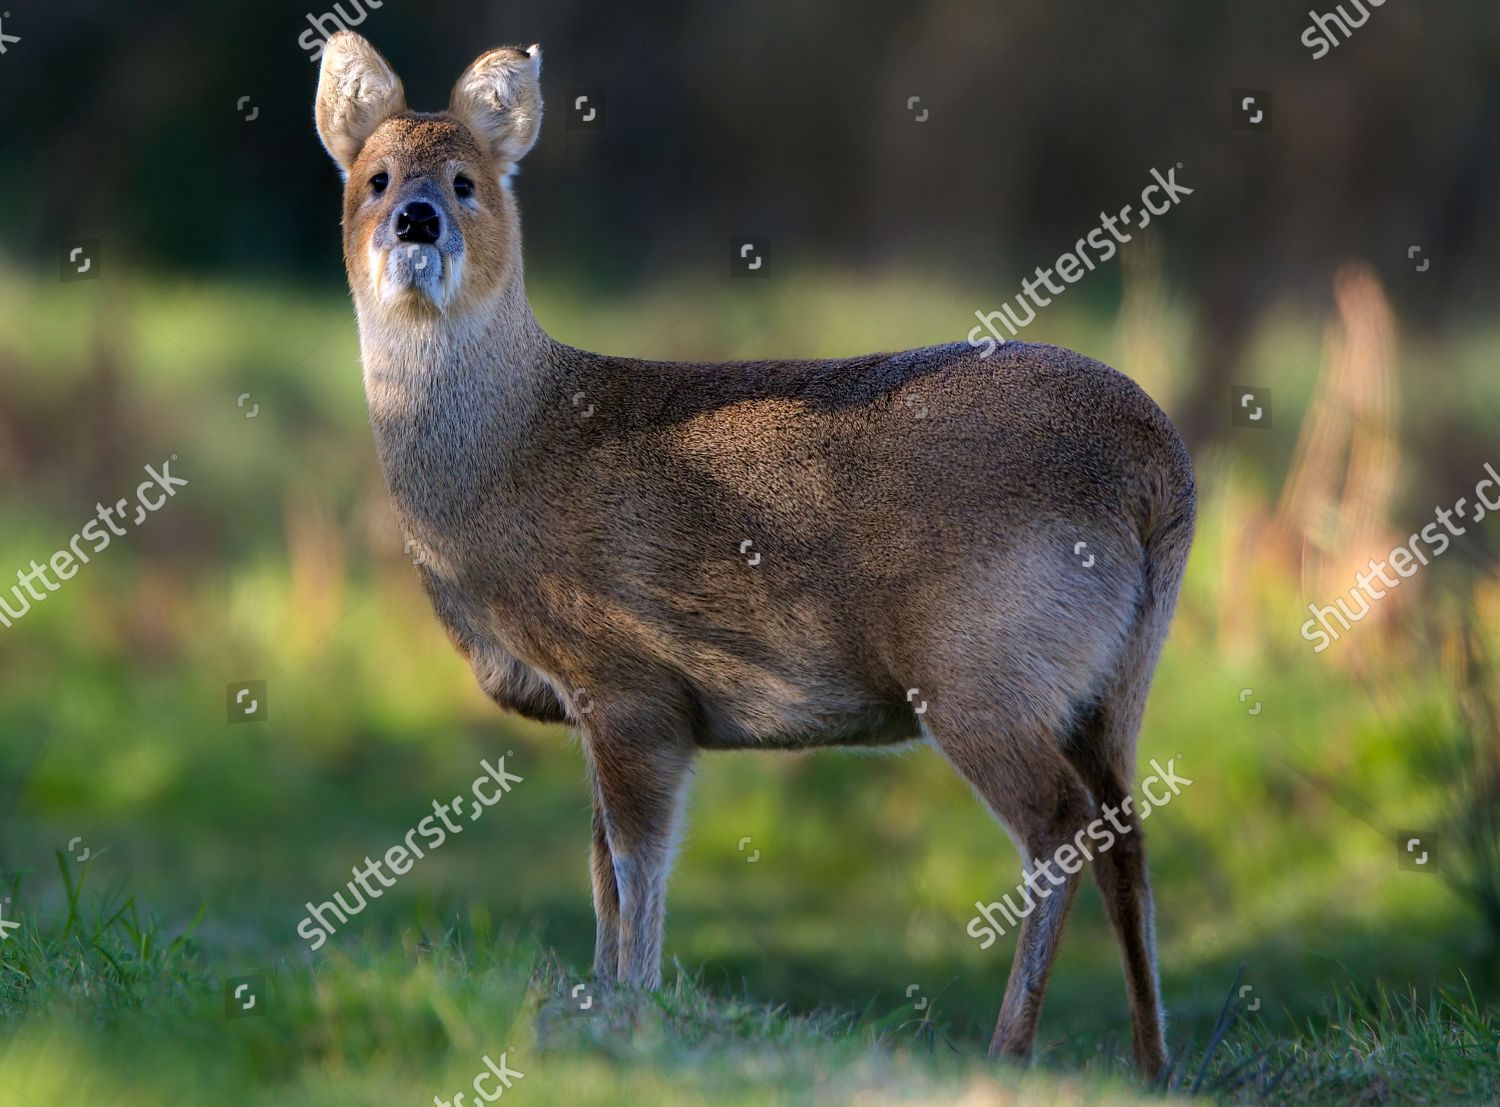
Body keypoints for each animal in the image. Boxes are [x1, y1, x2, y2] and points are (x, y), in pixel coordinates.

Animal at [314, 30, 1196, 1078]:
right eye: (374, 178)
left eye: (465, 182)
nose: (416, 218)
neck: (509, 453)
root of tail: (1162, 469)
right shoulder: (602, 704)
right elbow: (600, 865)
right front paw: (603, 998)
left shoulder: (629, 682)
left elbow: (634, 862)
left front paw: (634, 1007)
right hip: (1111, 683)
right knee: (1126, 833)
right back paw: (1152, 1062)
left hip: (984, 663)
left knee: (1061, 825)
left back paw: (1007, 1048)